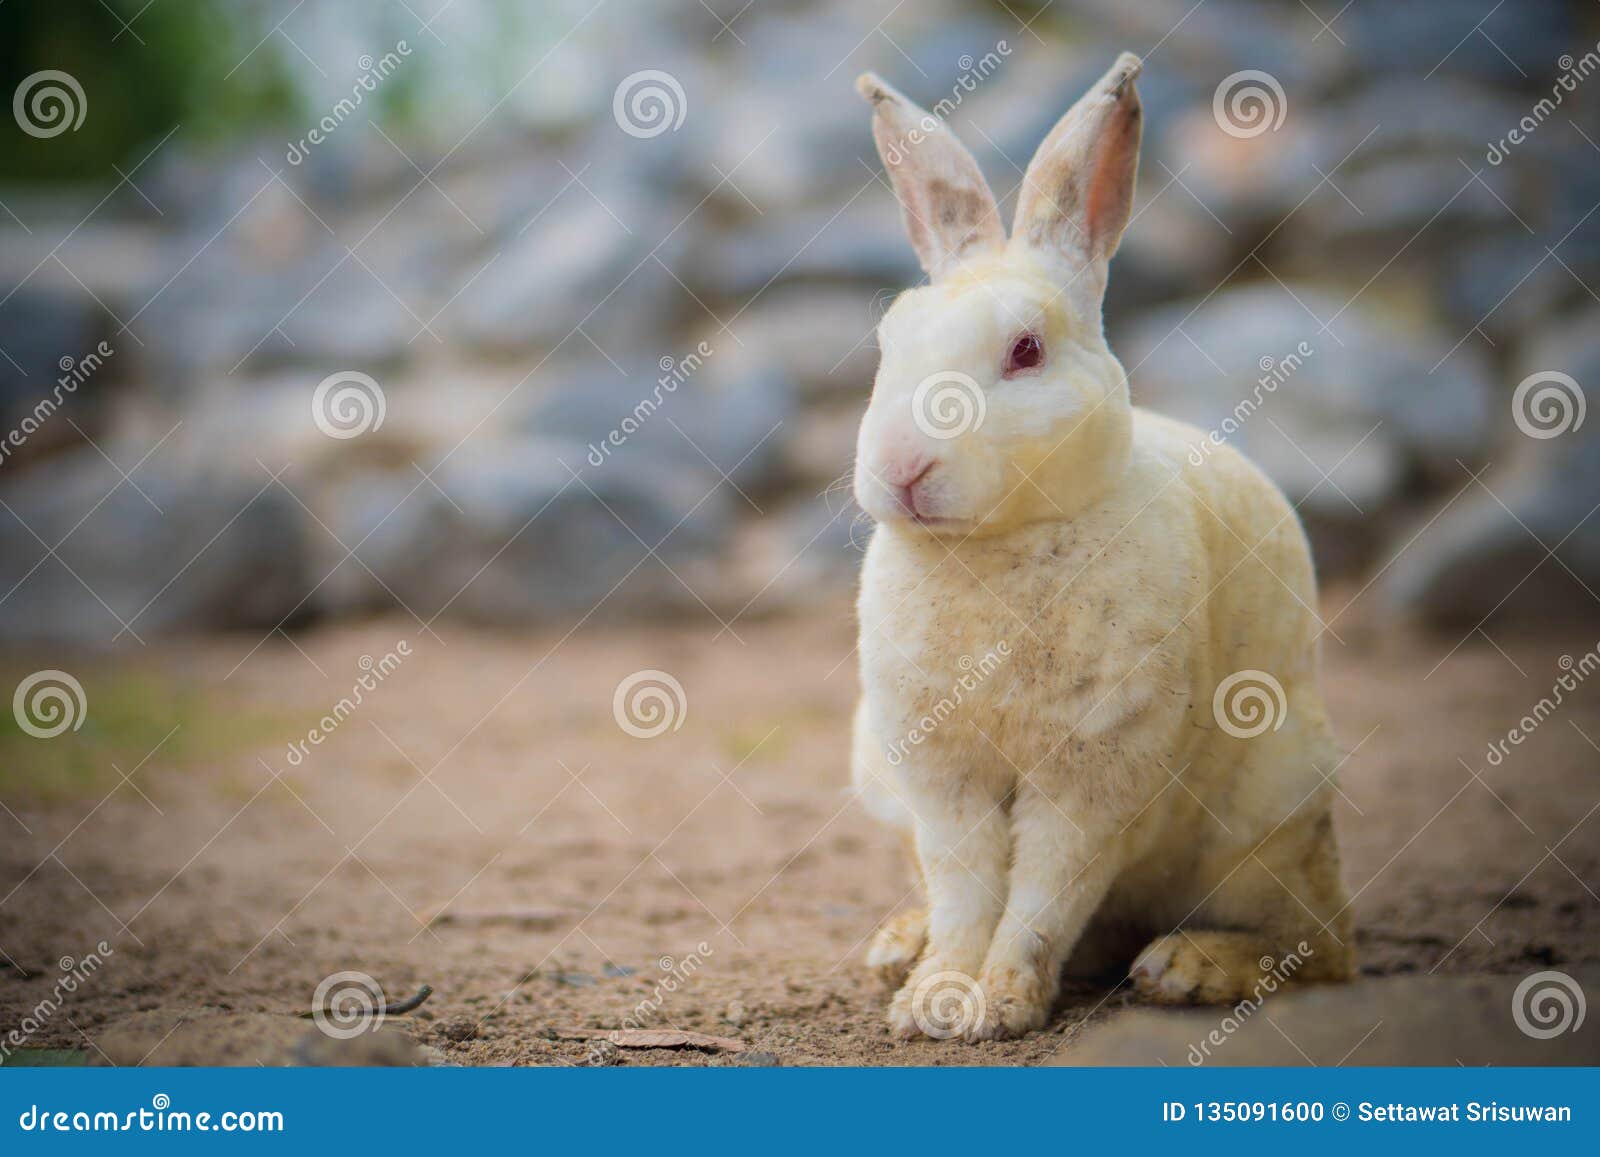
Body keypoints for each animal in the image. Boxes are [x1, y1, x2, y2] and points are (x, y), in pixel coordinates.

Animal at [849, 53, 1354, 1042]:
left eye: (1026, 350)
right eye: (886, 344)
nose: (901, 468)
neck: (994, 544)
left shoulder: (1095, 781)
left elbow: (1042, 894)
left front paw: (999, 1002)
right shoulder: (938, 778)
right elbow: (968, 886)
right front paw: (933, 997)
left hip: (1269, 816)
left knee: (1319, 946)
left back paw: (1186, 967)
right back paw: (897, 943)